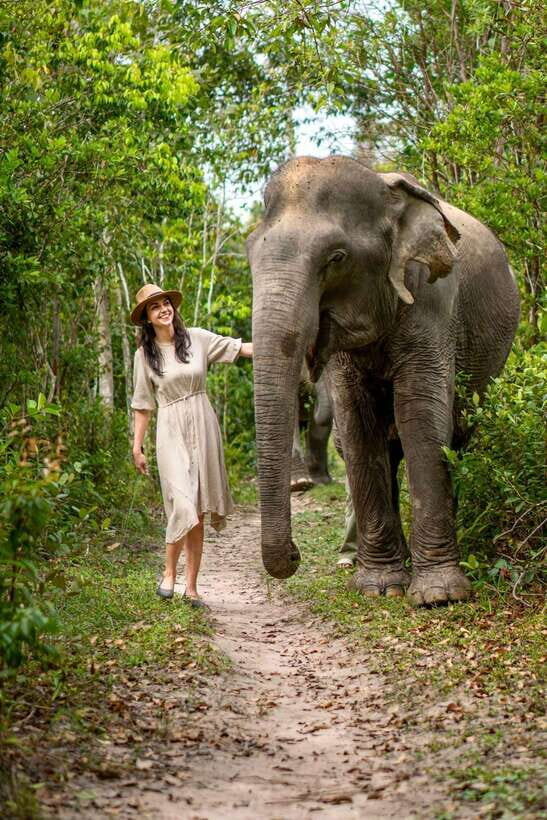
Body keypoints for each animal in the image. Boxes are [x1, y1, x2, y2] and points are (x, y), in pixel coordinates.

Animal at [248, 155, 519, 606]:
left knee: (460, 435)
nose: (295, 554)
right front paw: (379, 588)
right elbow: (358, 426)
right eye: (250, 255)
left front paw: (439, 595)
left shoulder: (432, 300)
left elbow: (421, 417)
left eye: (336, 257)